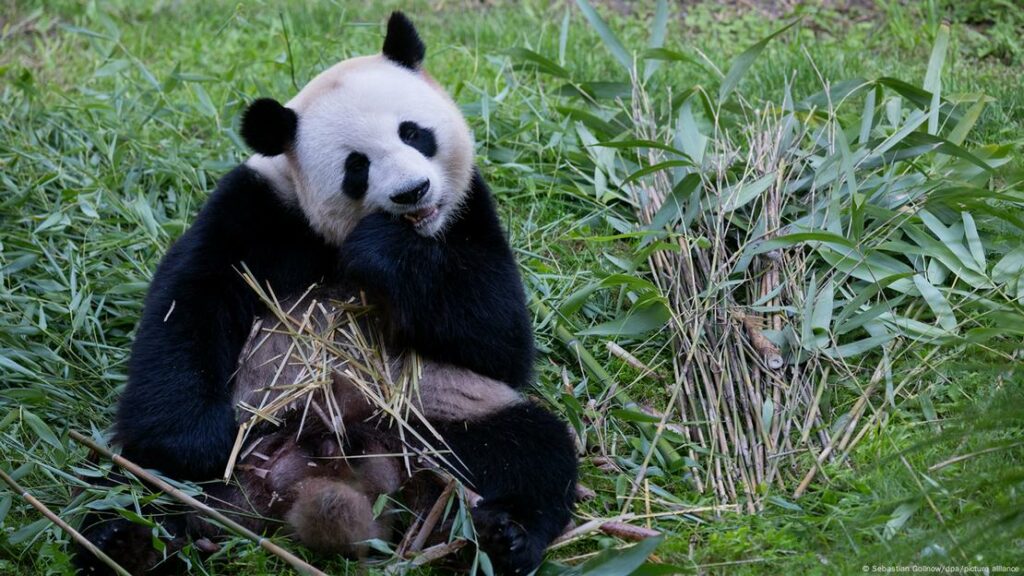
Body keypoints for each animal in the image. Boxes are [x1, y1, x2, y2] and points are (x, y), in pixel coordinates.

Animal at [75, 12, 577, 576]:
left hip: (441, 416)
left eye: (413, 133)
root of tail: (331, 466)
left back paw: (504, 536)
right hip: (247, 440)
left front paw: (381, 250)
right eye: (356, 166)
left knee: (531, 450)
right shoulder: (259, 207)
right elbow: (189, 305)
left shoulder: (469, 213)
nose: (413, 192)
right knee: (130, 480)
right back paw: (127, 540)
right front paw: (196, 445)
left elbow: (501, 338)